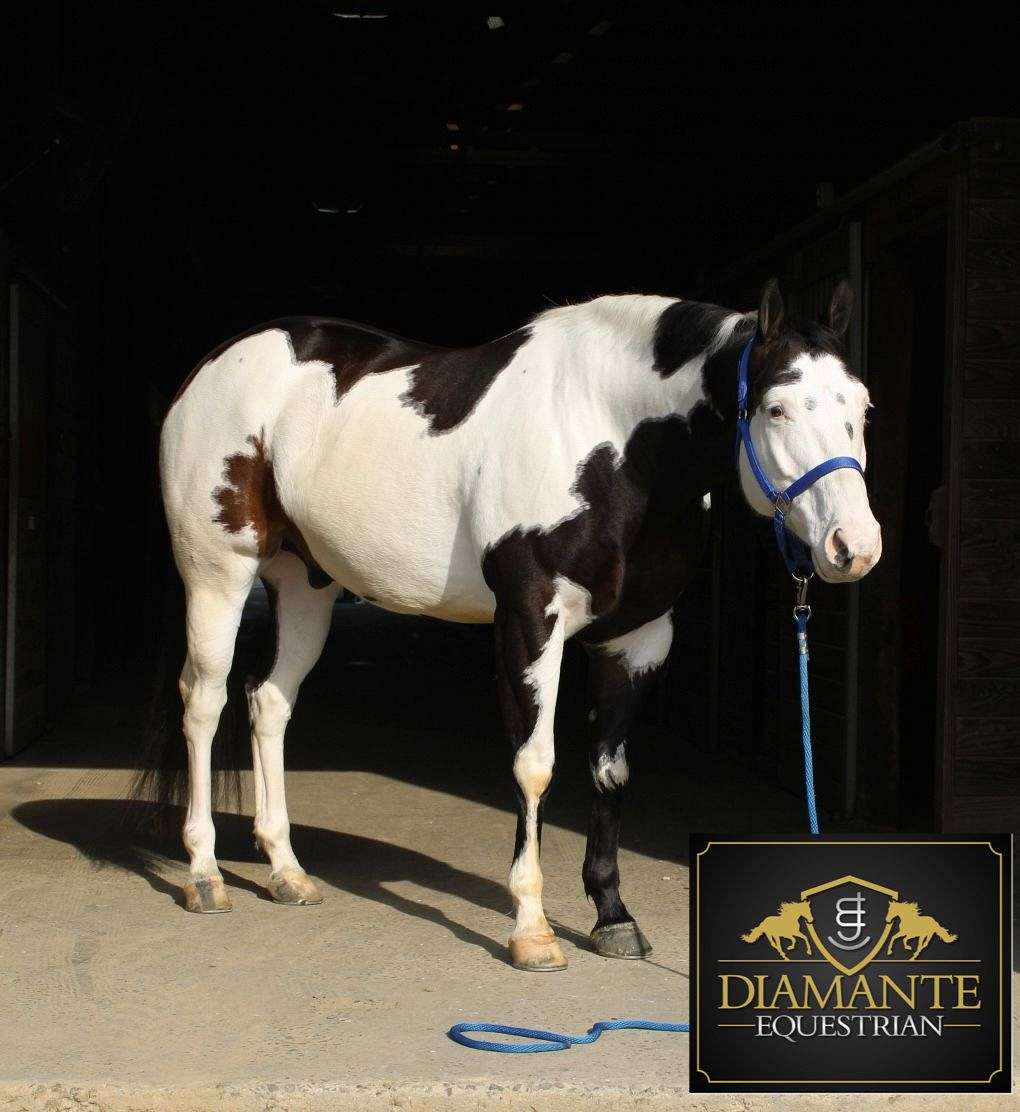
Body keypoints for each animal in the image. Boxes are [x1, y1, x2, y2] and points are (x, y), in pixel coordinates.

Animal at [148, 277, 880, 971]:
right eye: (777, 408)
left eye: (864, 407)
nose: (855, 547)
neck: (611, 443)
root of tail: (214, 366)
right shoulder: (530, 621)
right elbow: (534, 767)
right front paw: (532, 932)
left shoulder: (638, 639)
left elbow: (611, 771)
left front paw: (613, 917)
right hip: (218, 574)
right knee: (205, 702)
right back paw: (206, 876)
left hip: (306, 587)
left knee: (269, 703)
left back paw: (287, 872)